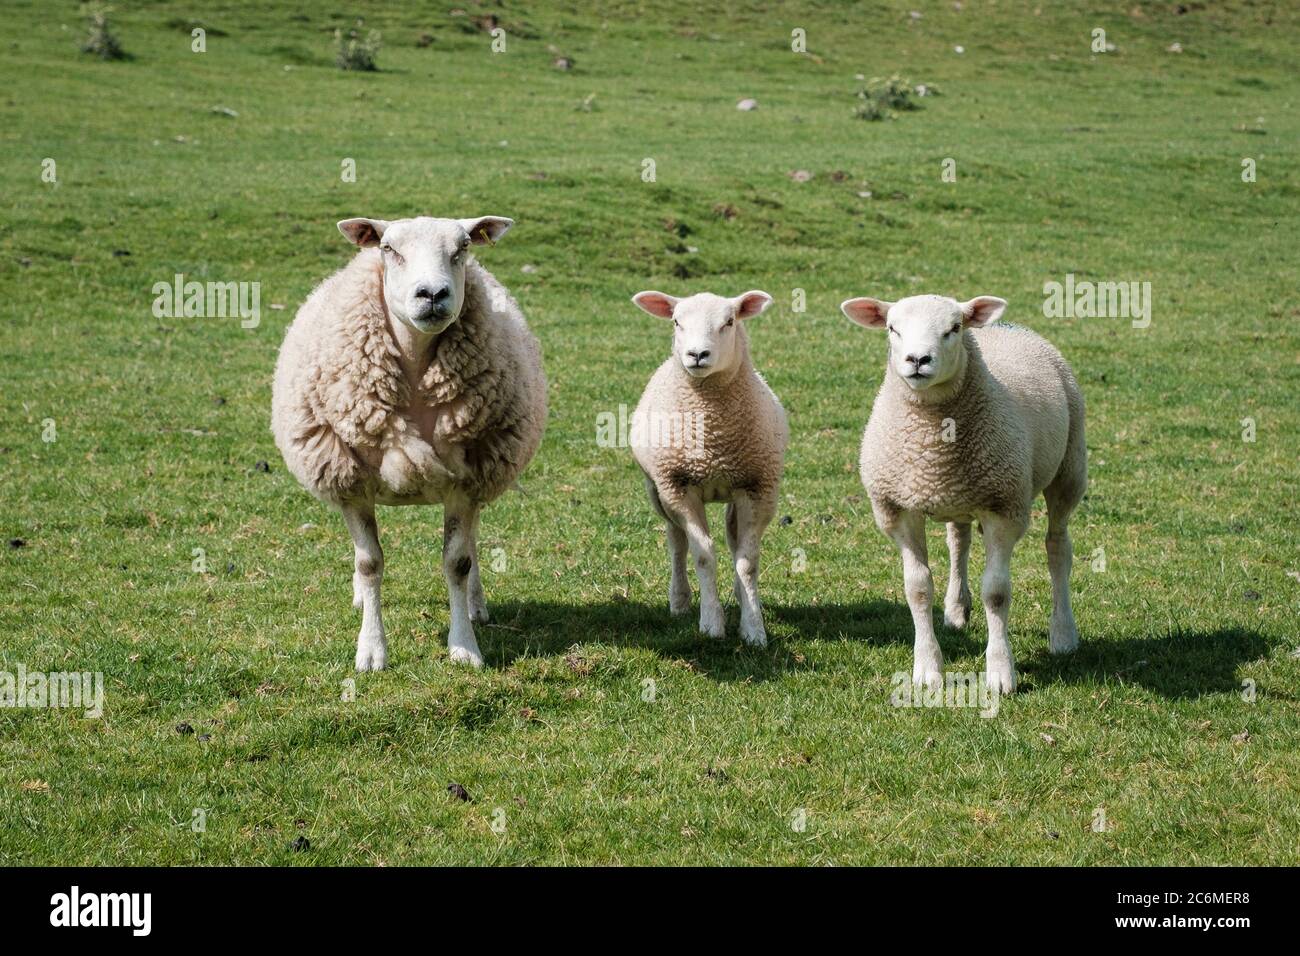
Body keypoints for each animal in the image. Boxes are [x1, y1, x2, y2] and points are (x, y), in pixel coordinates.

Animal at [271, 215, 547, 671]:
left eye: (463, 247)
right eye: (388, 248)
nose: (432, 293)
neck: (416, 361)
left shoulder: (465, 481)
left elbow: (458, 562)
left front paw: (464, 647)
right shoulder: (352, 483)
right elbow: (369, 563)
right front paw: (371, 650)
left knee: (472, 543)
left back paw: (475, 605)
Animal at [628, 290, 787, 646]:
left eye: (729, 322)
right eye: (676, 321)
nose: (697, 354)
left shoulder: (757, 487)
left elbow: (747, 562)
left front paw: (753, 628)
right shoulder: (679, 487)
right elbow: (702, 555)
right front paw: (711, 624)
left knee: (732, 537)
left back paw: (742, 597)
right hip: (658, 491)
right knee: (676, 541)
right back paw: (679, 600)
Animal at [840, 293, 1086, 695]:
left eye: (953, 328)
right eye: (892, 328)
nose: (918, 360)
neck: (932, 444)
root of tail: (1004, 325)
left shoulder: (1004, 507)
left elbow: (997, 593)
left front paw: (1001, 673)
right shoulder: (900, 508)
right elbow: (917, 589)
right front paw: (927, 669)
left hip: (1069, 469)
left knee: (1058, 548)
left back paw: (1063, 633)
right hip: (961, 496)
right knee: (959, 541)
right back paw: (956, 608)